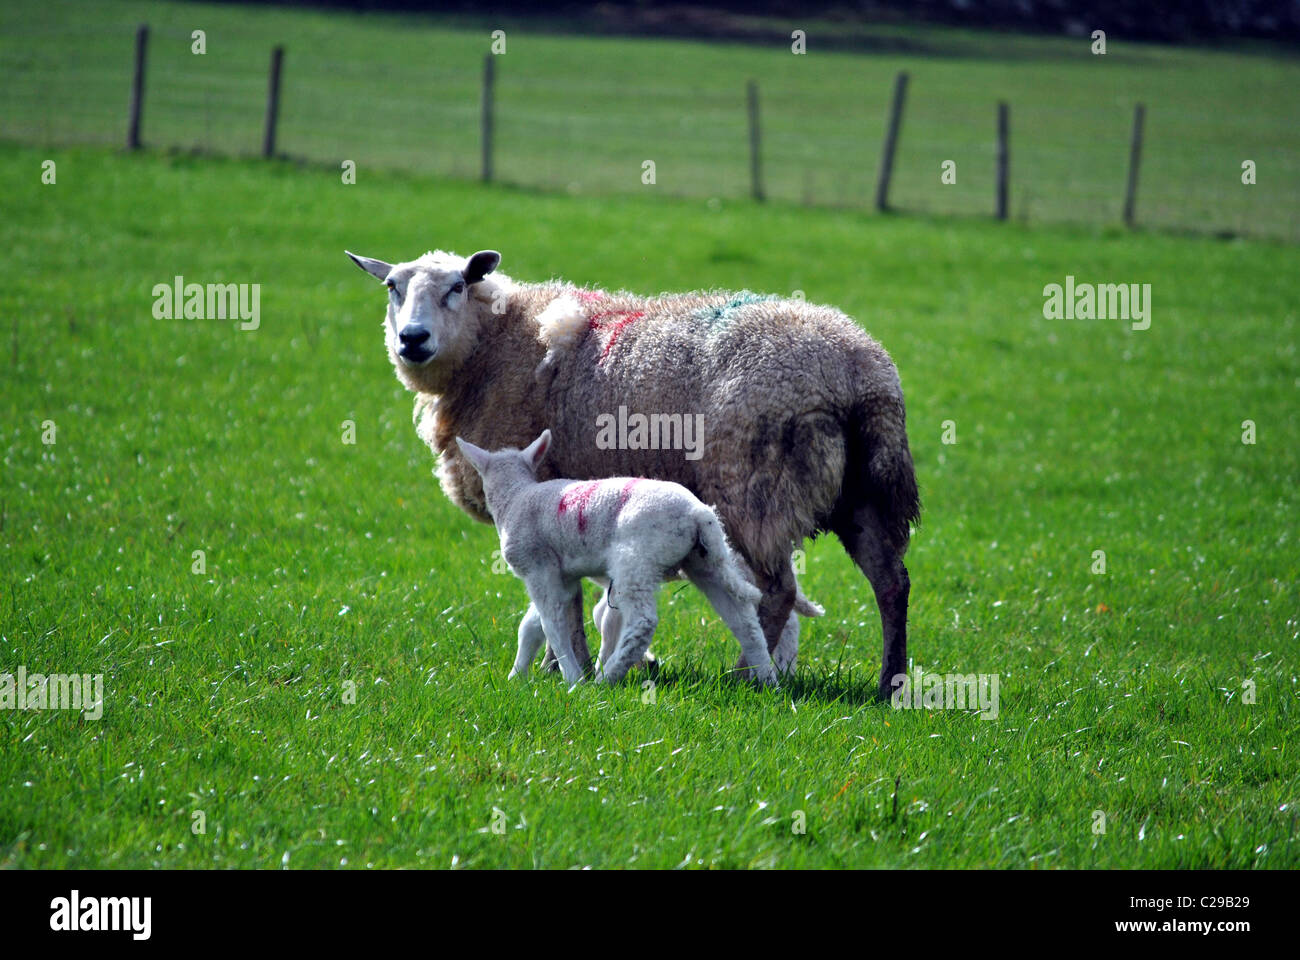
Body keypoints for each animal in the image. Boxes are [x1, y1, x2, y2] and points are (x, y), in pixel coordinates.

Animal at [455, 430, 780, 688]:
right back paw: (767, 679)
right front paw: (516, 676)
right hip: (705, 560)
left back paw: (607, 678)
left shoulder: (538, 569)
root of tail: (698, 514)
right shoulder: (561, 575)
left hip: (638, 559)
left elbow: (552, 624)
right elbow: (531, 626)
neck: (515, 497)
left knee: (643, 622)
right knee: (743, 619)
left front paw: (573, 679)